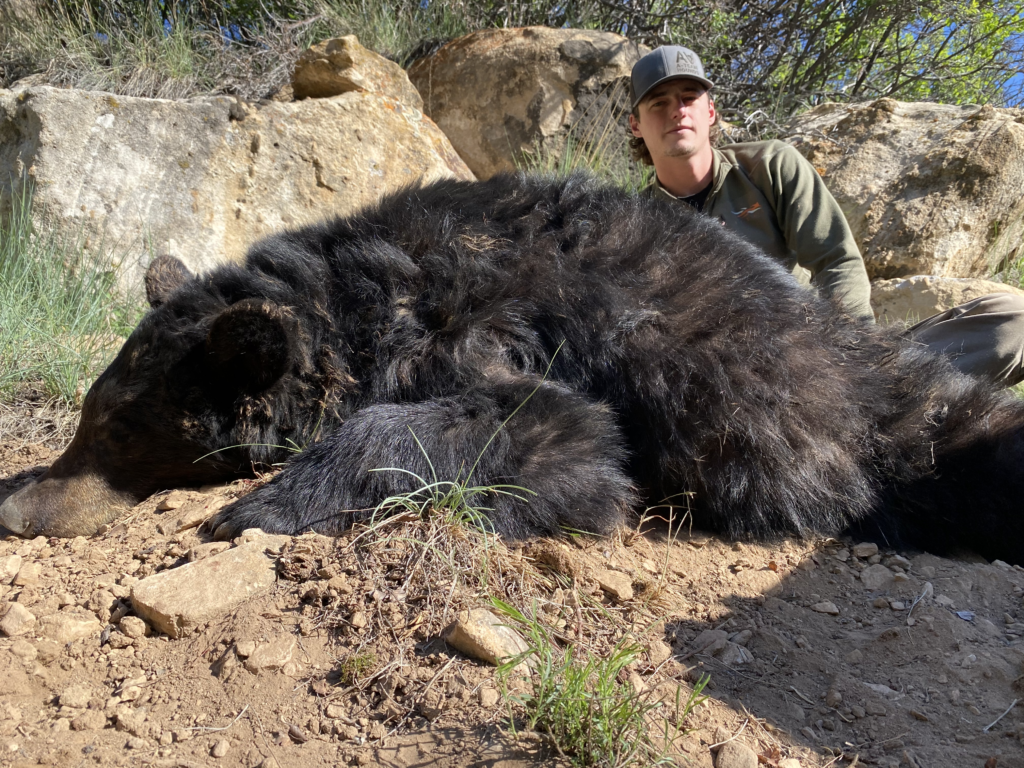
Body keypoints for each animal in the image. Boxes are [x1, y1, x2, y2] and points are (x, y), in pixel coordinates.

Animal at [2, 172, 1024, 564]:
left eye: (119, 430)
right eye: (91, 414)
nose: (14, 512)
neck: (350, 303)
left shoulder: (481, 320)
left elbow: (562, 431)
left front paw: (267, 504)